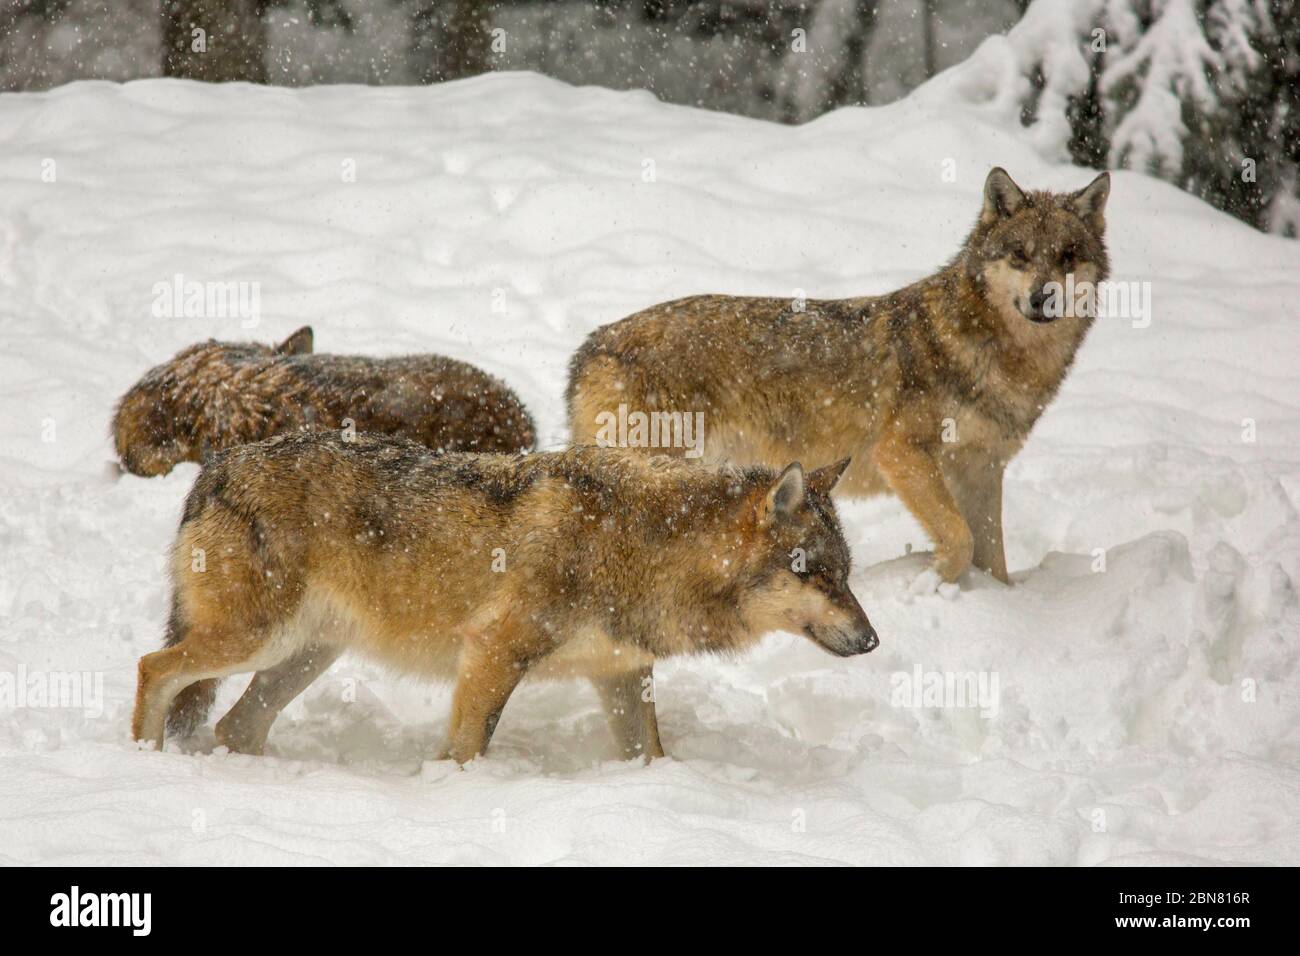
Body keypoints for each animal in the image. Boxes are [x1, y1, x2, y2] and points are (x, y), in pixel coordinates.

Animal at [131, 433, 877, 763]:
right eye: (818, 574)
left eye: (847, 575)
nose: (872, 641)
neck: (644, 545)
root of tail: (217, 466)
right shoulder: (491, 654)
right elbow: (467, 749)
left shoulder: (621, 674)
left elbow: (652, 756)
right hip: (258, 641)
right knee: (152, 669)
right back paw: (143, 759)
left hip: (306, 656)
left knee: (235, 726)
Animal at [567, 167, 1111, 584]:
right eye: (1019, 254)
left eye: (1067, 255)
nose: (1043, 298)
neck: (996, 355)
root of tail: (590, 346)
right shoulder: (901, 454)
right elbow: (960, 539)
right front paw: (925, 584)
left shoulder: (982, 469)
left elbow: (993, 559)